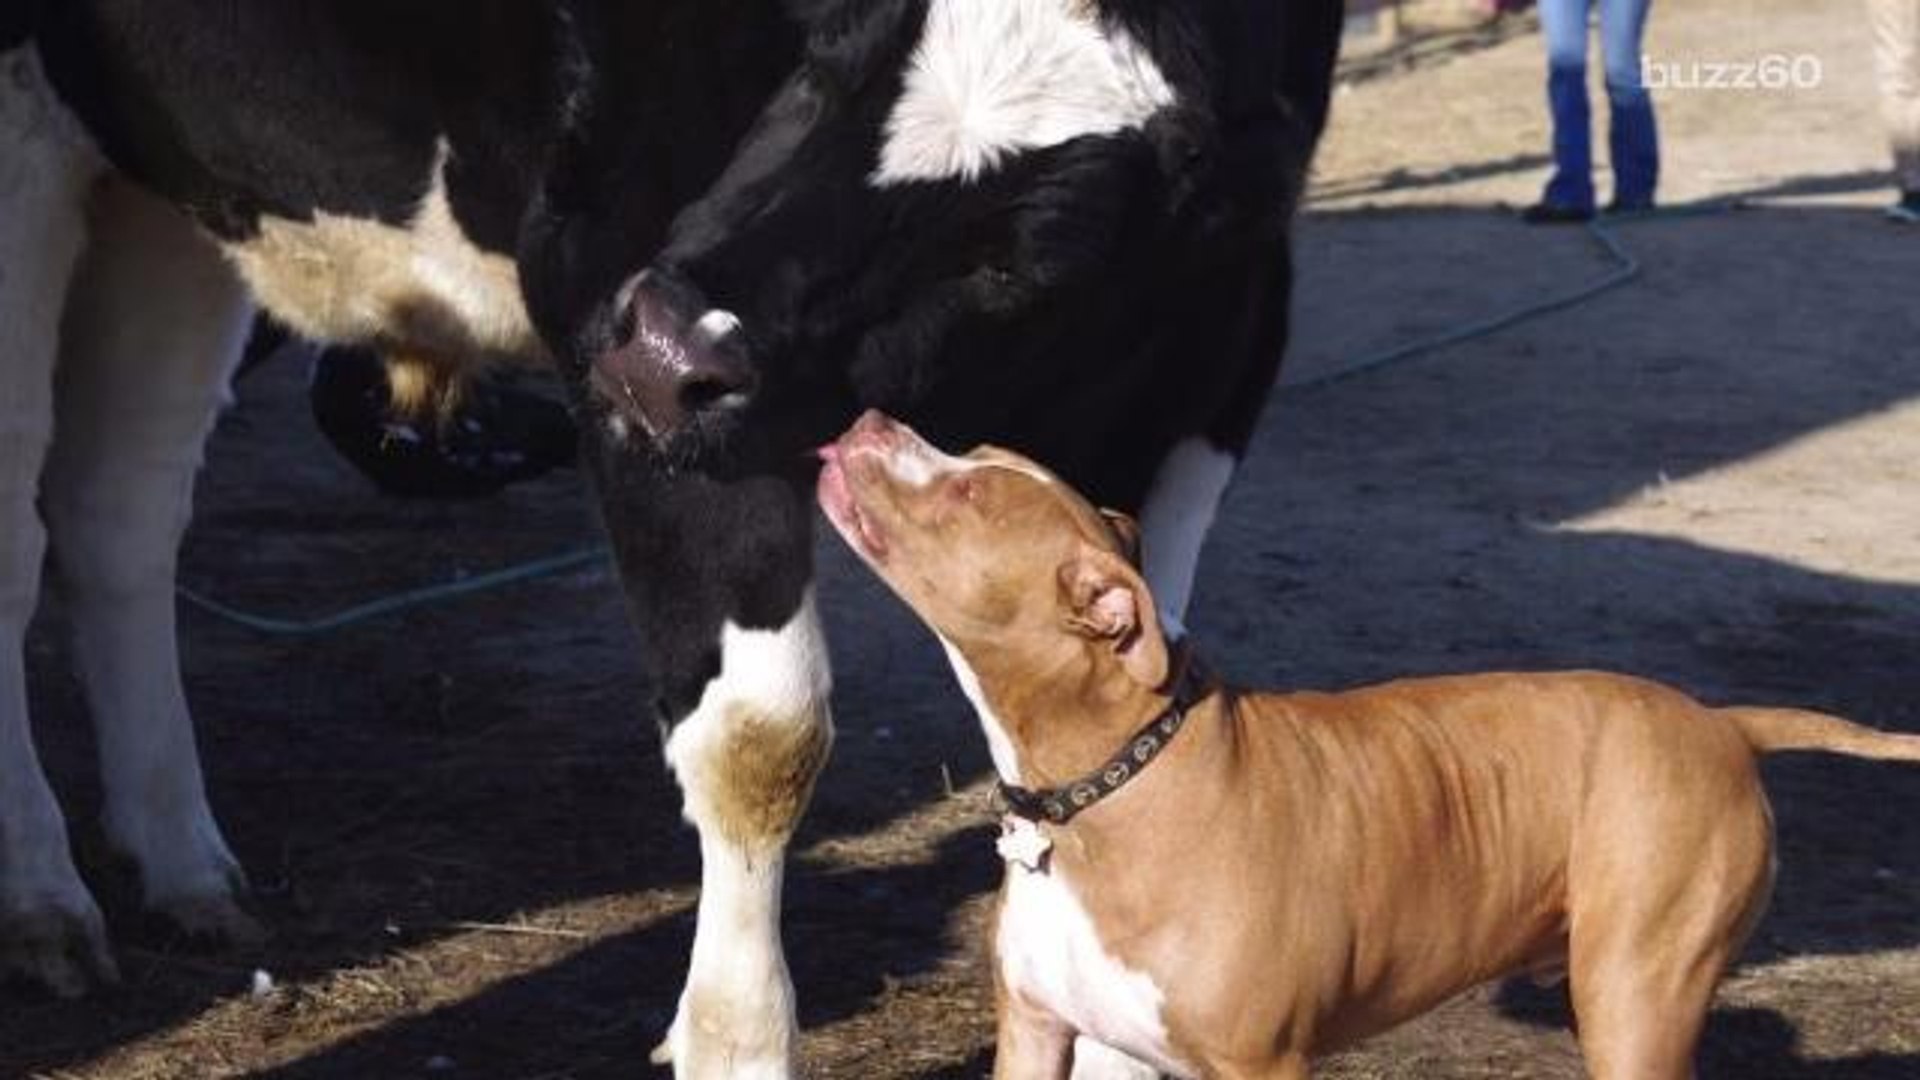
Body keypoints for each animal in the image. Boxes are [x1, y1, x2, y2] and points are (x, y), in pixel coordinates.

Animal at [0, 0, 1343, 1074]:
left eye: (1025, 250)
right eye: (832, 55)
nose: (661, 349)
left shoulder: (1223, 341)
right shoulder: (608, 269)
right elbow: (761, 737)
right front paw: (736, 1039)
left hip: (158, 185)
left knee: (120, 511)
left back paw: (179, 864)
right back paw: (44, 900)